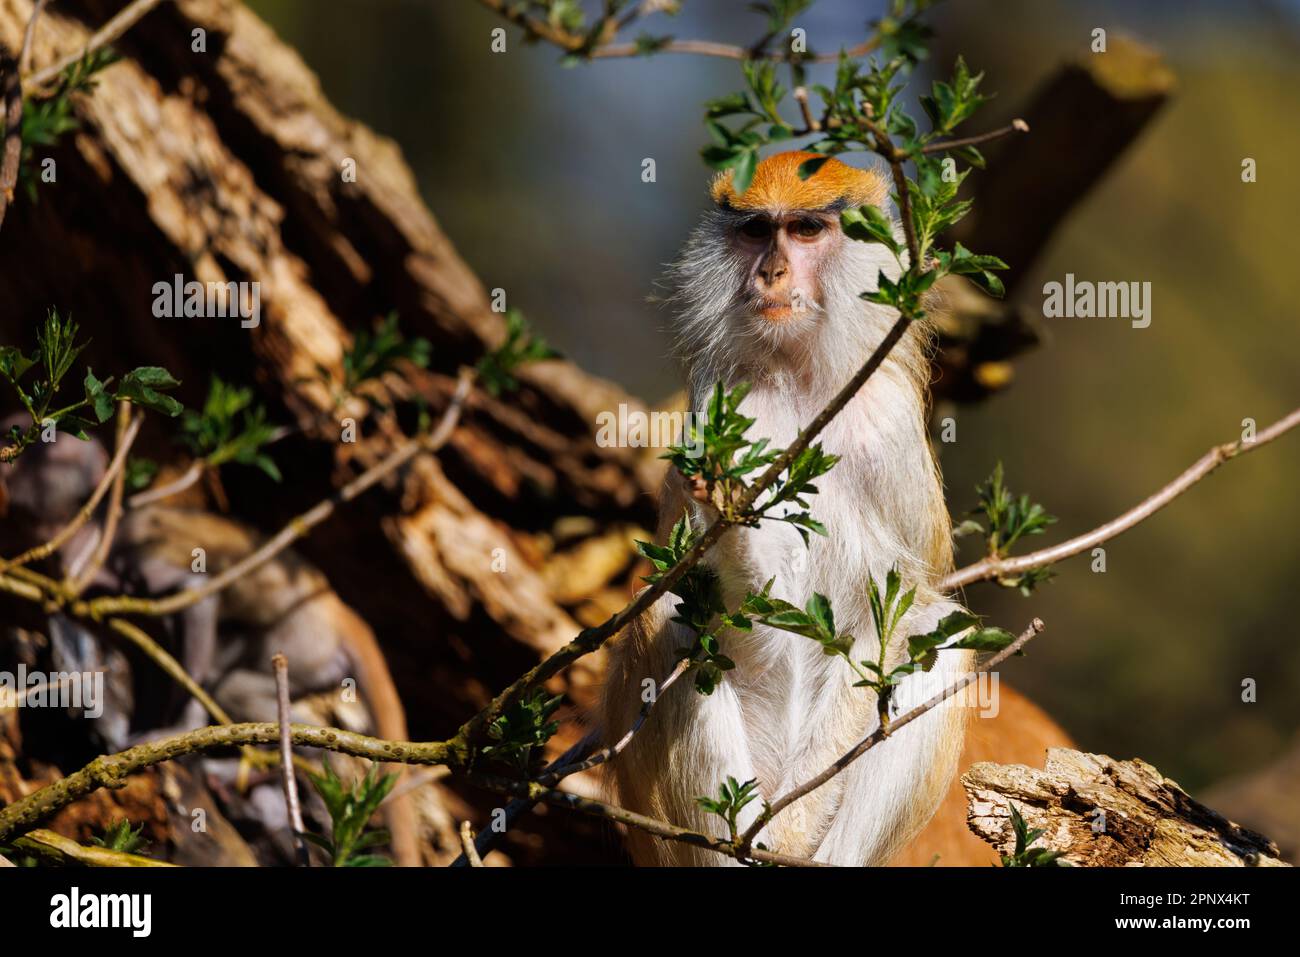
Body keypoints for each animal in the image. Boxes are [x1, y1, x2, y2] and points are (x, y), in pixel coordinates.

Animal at [0, 423, 423, 866]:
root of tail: (340, 609)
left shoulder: (131, 551)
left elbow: (194, 597)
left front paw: (178, 728)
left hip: (305, 638)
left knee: (231, 684)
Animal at [601, 151, 976, 866]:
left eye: (805, 230)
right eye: (755, 231)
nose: (770, 273)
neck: (805, 384)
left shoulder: (888, 421)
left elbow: (903, 608)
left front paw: (794, 832)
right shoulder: (716, 406)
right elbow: (703, 588)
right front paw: (733, 531)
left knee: (946, 637)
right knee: (669, 615)